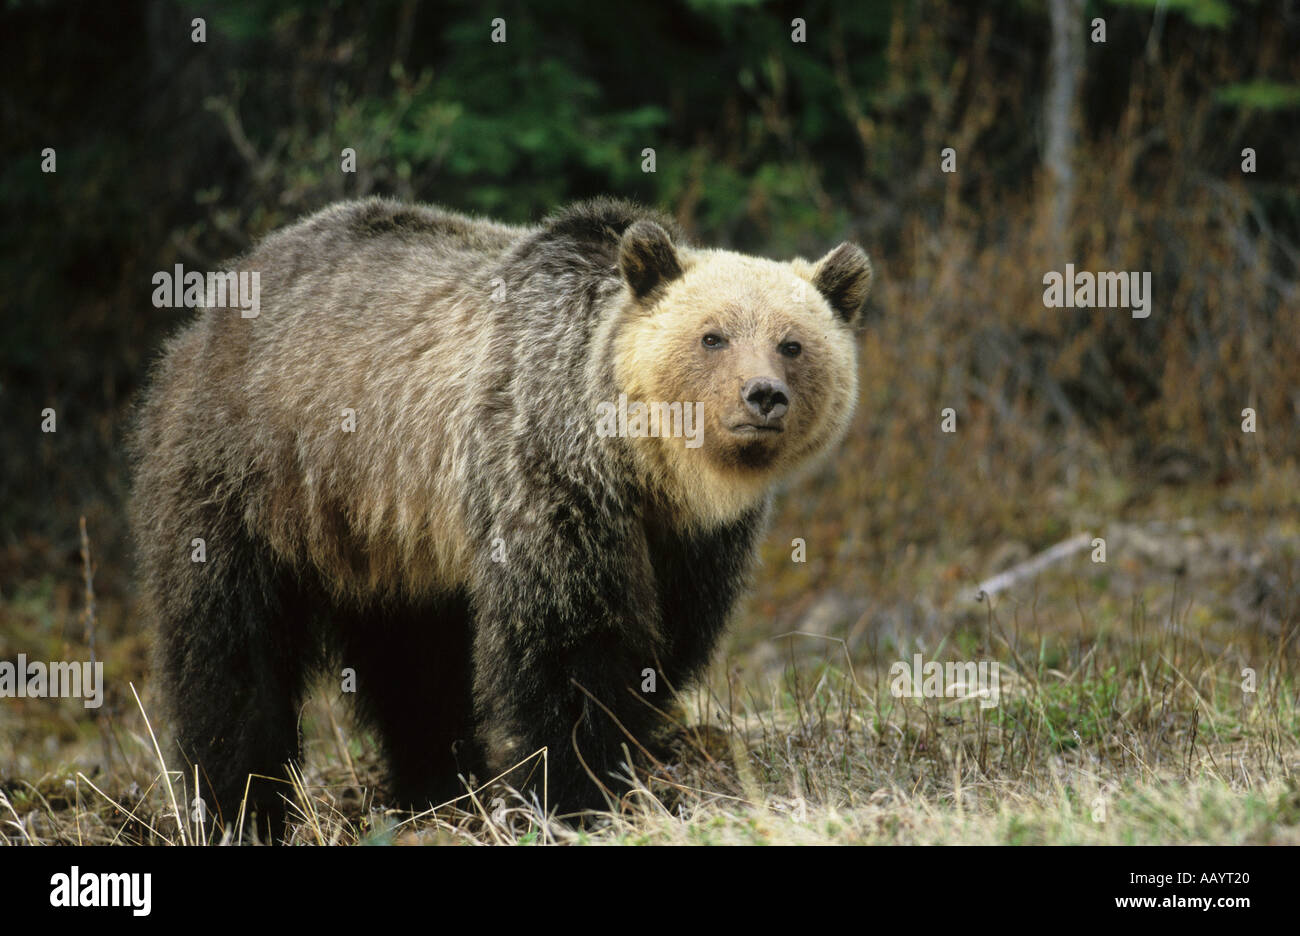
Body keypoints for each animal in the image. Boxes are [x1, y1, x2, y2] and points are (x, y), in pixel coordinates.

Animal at [129, 196, 872, 838]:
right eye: (713, 336)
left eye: (792, 343)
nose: (763, 396)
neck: (648, 469)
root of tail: (222, 295)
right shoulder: (546, 475)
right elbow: (567, 644)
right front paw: (569, 795)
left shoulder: (692, 545)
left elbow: (663, 649)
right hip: (251, 479)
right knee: (229, 650)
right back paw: (239, 806)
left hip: (393, 535)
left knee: (412, 662)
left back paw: (435, 786)